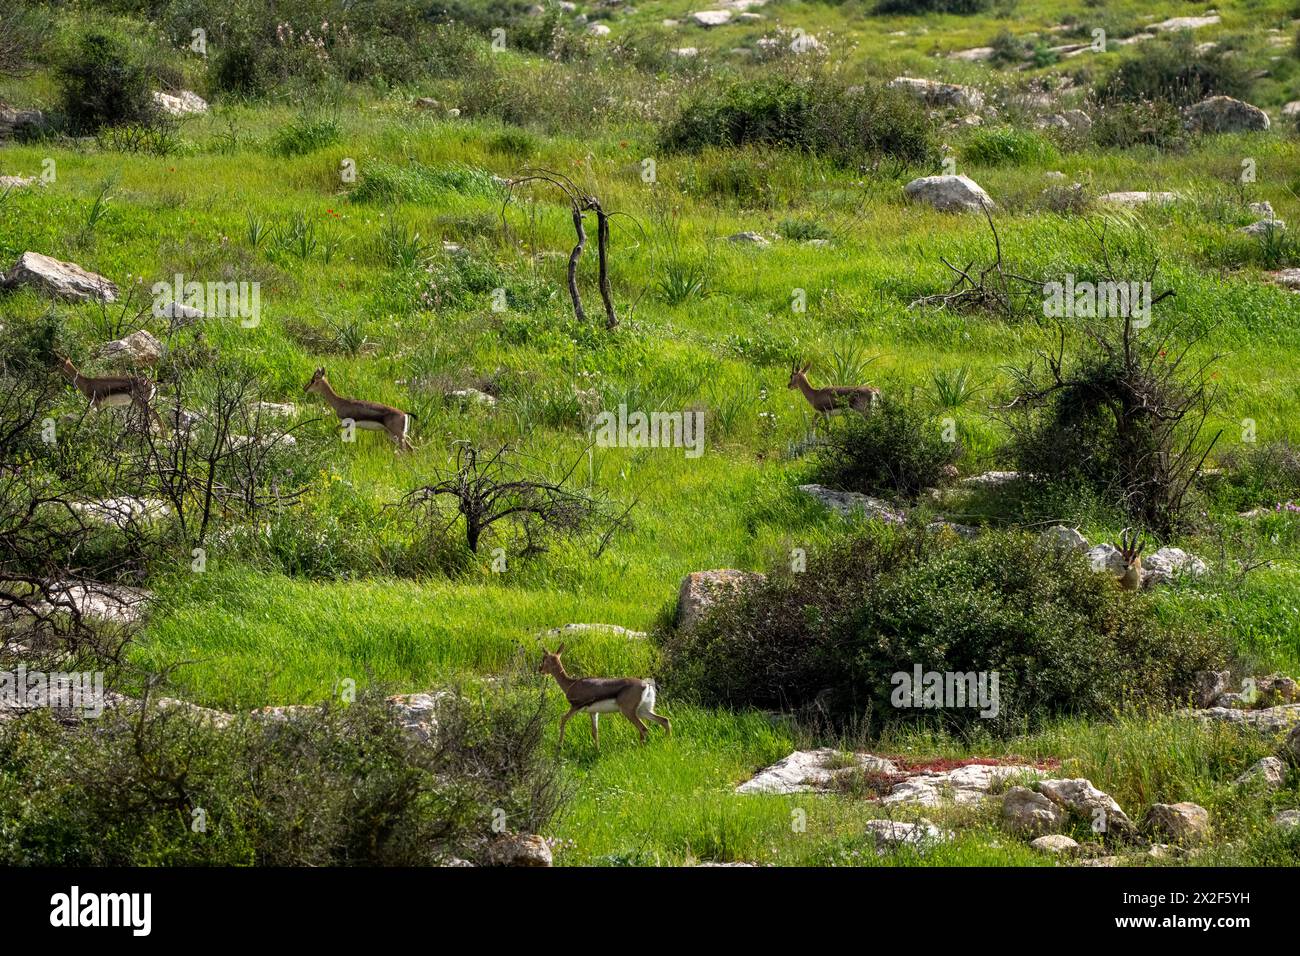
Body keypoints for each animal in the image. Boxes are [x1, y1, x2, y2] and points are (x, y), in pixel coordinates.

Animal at [539, 643, 671, 750]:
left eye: (544, 659)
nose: (540, 670)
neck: (571, 684)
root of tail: (646, 685)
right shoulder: (593, 712)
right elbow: (595, 731)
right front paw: (597, 750)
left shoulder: (575, 707)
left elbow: (562, 719)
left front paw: (559, 745)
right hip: (642, 711)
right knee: (664, 720)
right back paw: (666, 741)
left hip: (629, 712)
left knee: (644, 728)